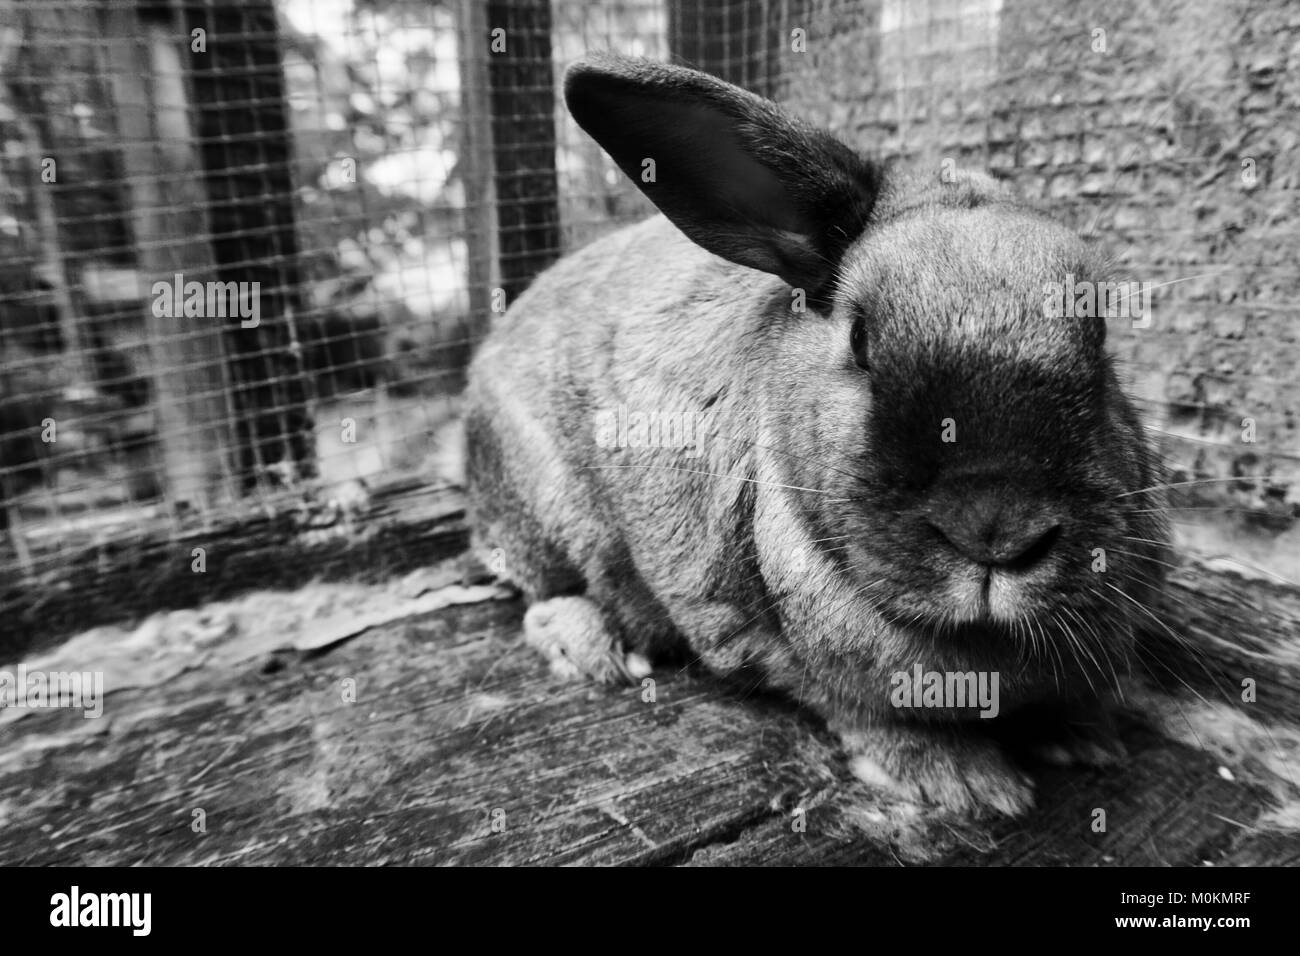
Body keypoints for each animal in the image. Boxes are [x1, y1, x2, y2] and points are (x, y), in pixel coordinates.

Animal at [463, 53, 1172, 816]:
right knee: (540, 594)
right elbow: (857, 709)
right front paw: (966, 781)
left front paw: (1083, 735)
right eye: (861, 340)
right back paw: (591, 649)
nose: (997, 529)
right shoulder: (750, 634)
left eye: (1100, 339)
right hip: (541, 511)